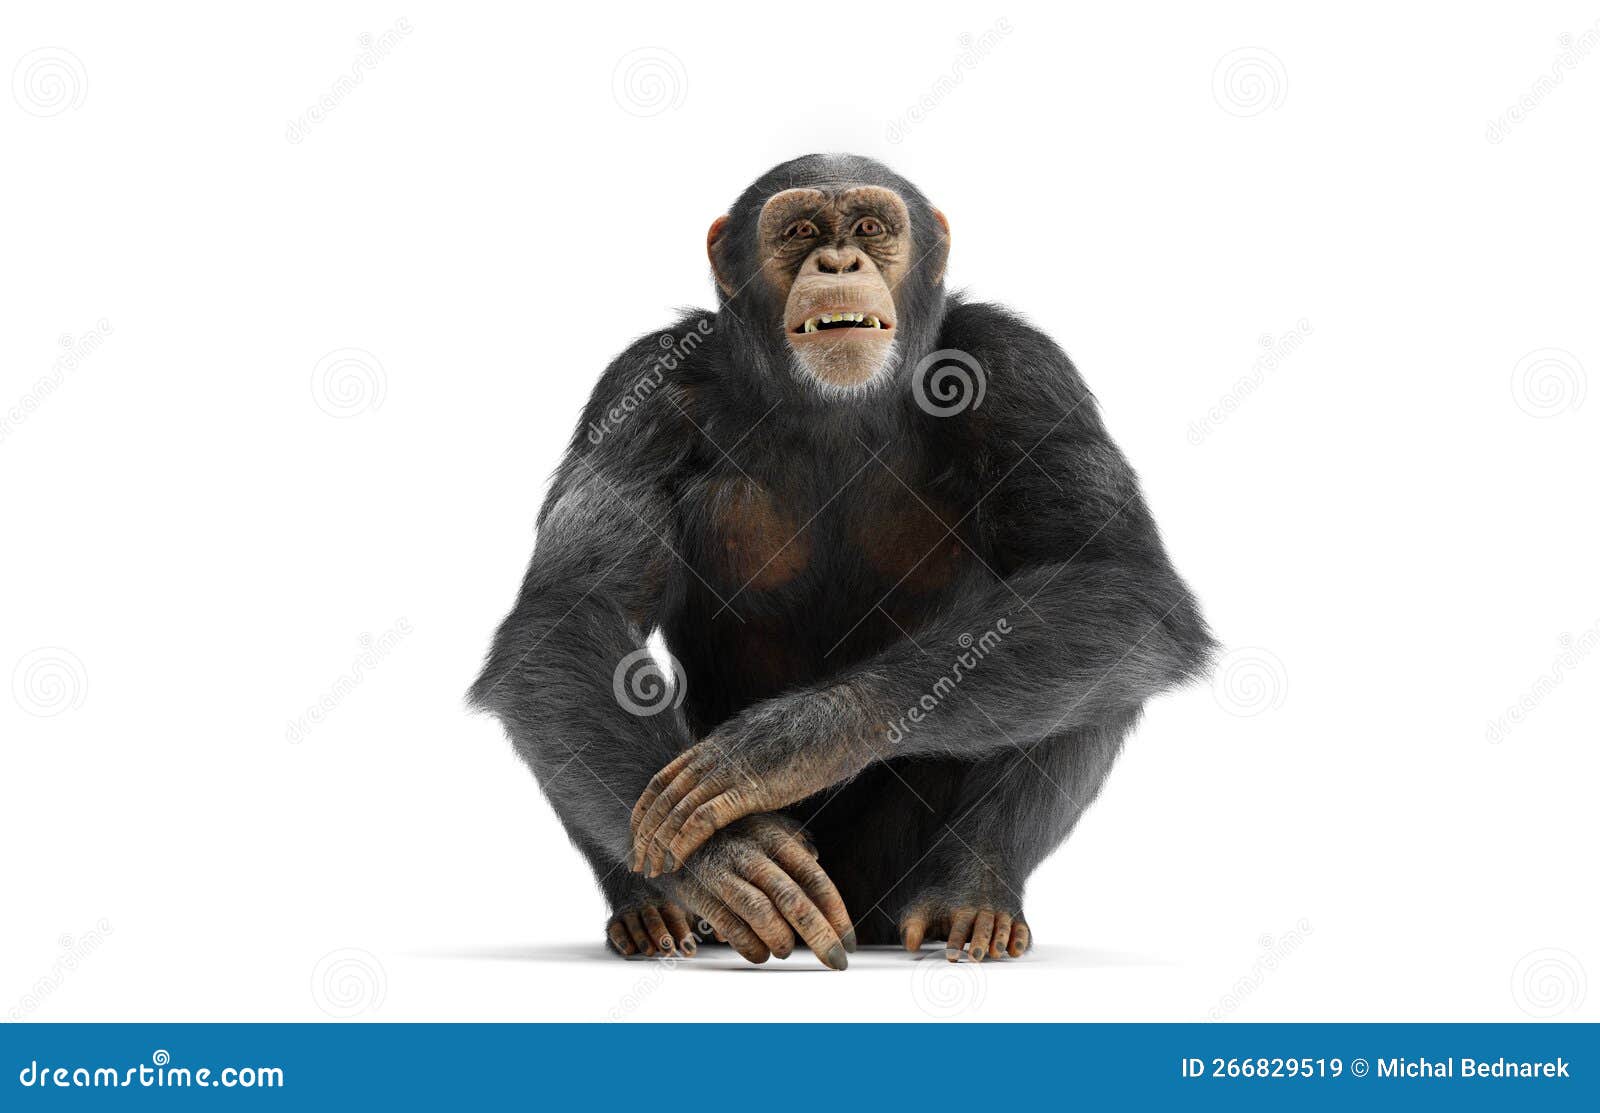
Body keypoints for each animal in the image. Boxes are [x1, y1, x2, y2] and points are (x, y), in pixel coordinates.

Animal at [469, 154, 1215, 969]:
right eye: (798, 231)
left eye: (868, 226)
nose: (837, 261)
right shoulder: (640, 395)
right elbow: (575, 610)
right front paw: (729, 859)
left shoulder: (1024, 371)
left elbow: (1116, 573)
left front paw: (788, 745)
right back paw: (652, 908)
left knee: (1104, 647)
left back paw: (972, 896)